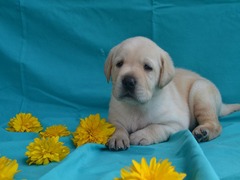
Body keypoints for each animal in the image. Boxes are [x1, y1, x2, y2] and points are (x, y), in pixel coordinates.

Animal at [104, 36, 240, 150]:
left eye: (147, 67)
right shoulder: (114, 118)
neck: (136, 106)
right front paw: (118, 137)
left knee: (215, 124)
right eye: (119, 64)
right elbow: (116, 127)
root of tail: (221, 104)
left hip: (200, 90)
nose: (128, 81)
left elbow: (156, 127)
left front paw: (141, 135)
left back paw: (204, 132)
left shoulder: (175, 123)